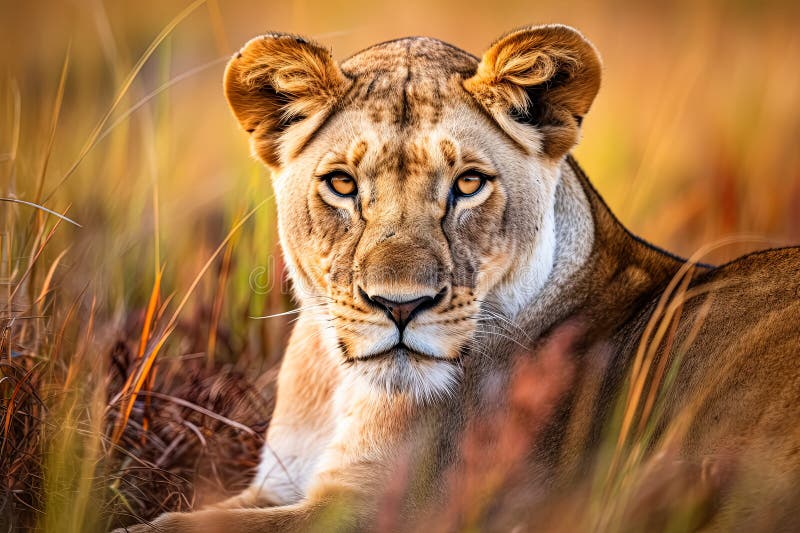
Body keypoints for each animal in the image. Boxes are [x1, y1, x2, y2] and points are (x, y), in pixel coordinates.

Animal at [121, 25, 800, 532]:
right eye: (342, 183)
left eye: (468, 183)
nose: (400, 306)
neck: (337, 384)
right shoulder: (275, 485)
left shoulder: (378, 509)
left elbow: (167, 527)